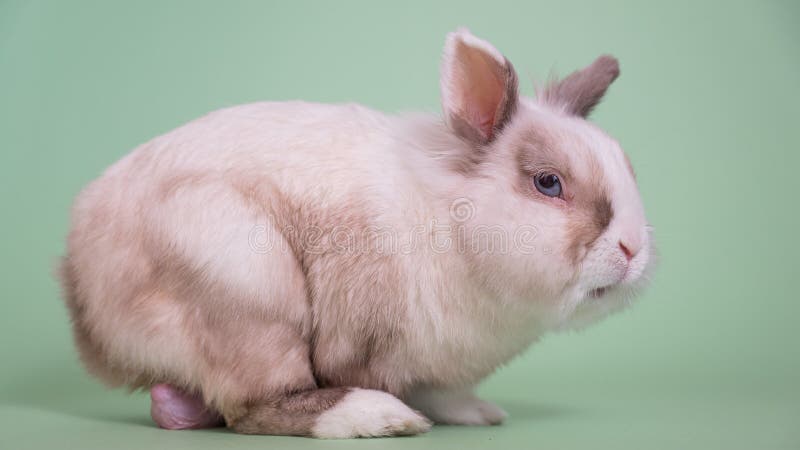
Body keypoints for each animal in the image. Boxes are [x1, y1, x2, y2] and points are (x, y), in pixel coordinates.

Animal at [59, 28, 654, 438]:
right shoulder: (366, 332)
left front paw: (477, 412)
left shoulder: (432, 366)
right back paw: (379, 417)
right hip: (247, 289)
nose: (633, 250)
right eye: (549, 183)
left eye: (629, 168)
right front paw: (406, 412)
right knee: (255, 406)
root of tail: (82, 290)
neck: (449, 224)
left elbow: (442, 392)